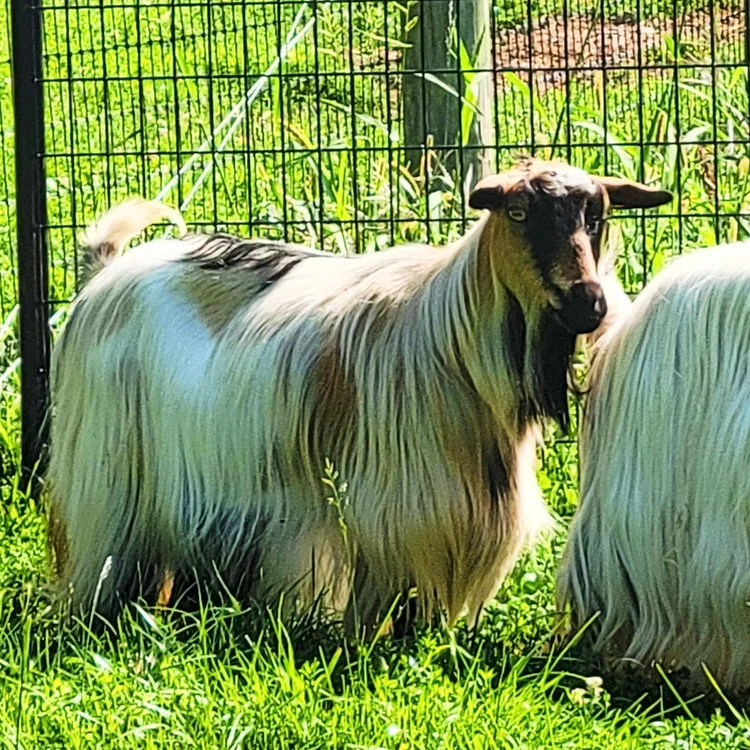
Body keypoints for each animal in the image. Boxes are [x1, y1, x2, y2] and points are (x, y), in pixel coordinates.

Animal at [47, 158, 671, 632]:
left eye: (598, 217)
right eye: (518, 214)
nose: (588, 303)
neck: (451, 340)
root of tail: (103, 273)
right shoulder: (396, 507)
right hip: (109, 467)